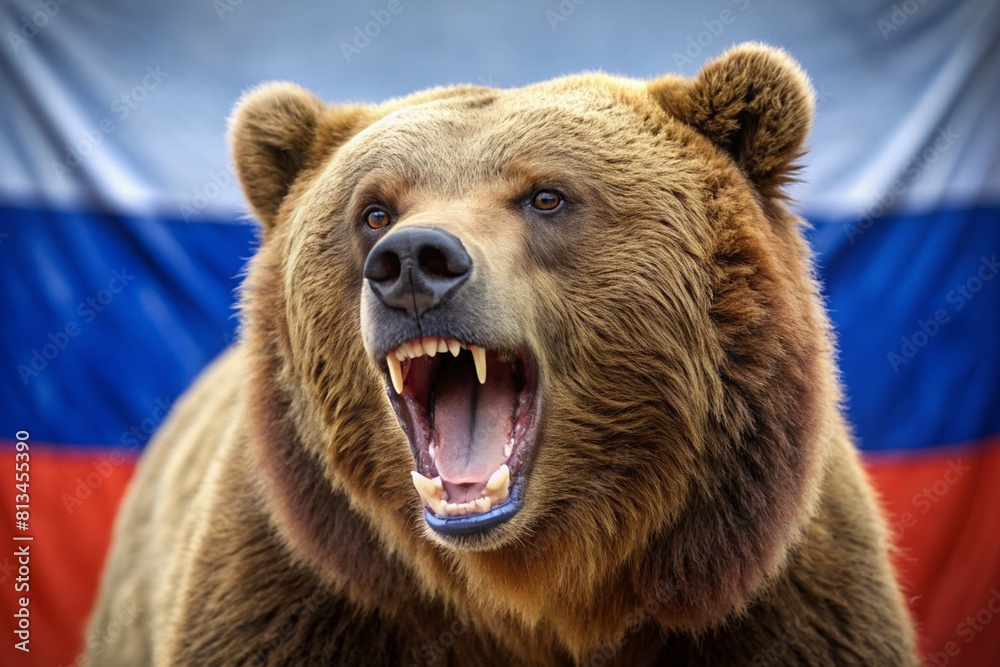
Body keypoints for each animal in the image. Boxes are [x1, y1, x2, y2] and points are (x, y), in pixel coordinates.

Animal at [86, 42, 917, 665]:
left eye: (547, 196)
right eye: (374, 209)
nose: (413, 262)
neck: (527, 592)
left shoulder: (783, 604)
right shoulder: (305, 595)